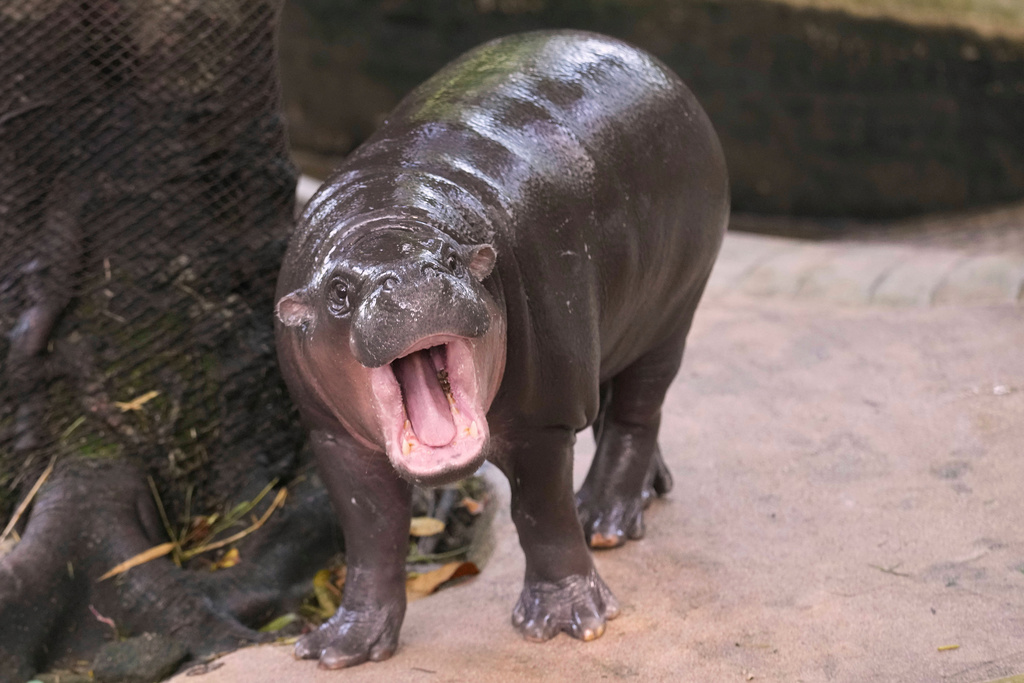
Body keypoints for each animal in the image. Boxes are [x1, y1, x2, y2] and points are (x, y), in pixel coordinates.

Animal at [275, 30, 728, 669]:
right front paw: (340, 646)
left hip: (672, 311)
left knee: (638, 411)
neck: (388, 211)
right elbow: (371, 533)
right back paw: (643, 495)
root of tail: (645, 58)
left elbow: (540, 513)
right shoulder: (332, 437)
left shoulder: (544, 420)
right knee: (617, 403)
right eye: (338, 291)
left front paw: (568, 621)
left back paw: (605, 519)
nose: (409, 280)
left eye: (450, 257)